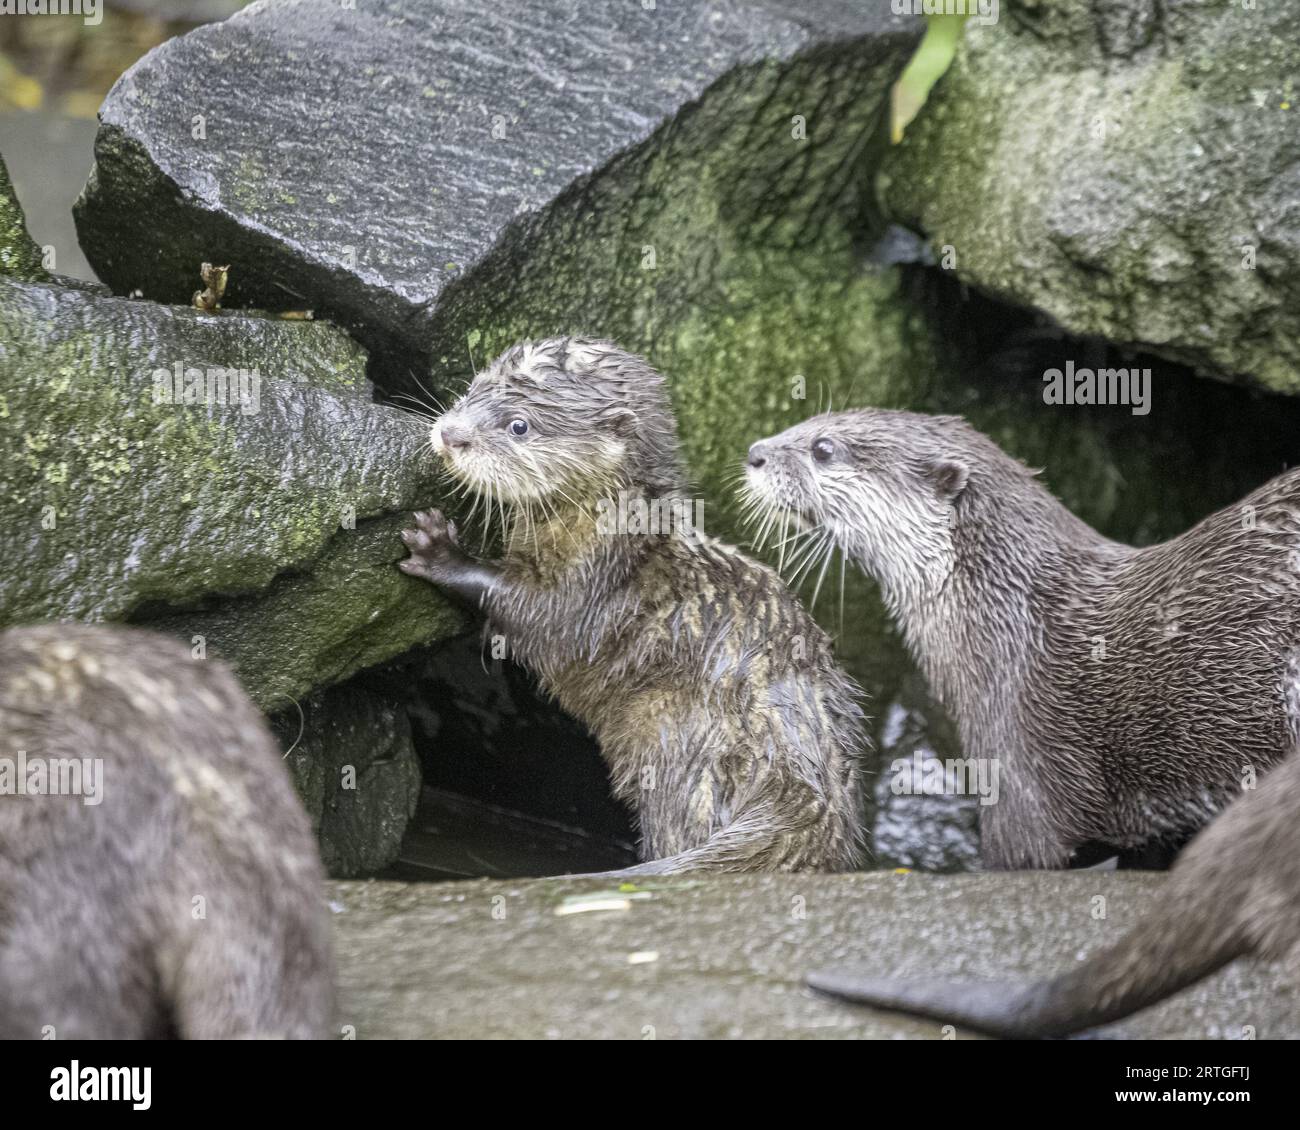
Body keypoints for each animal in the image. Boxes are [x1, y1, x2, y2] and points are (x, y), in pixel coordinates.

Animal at [399, 337, 865, 875]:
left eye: (519, 425)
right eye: (473, 388)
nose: (450, 434)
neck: (610, 541)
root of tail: (803, 786)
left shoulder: (586, 594)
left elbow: (528, 611)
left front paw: (438, 550)